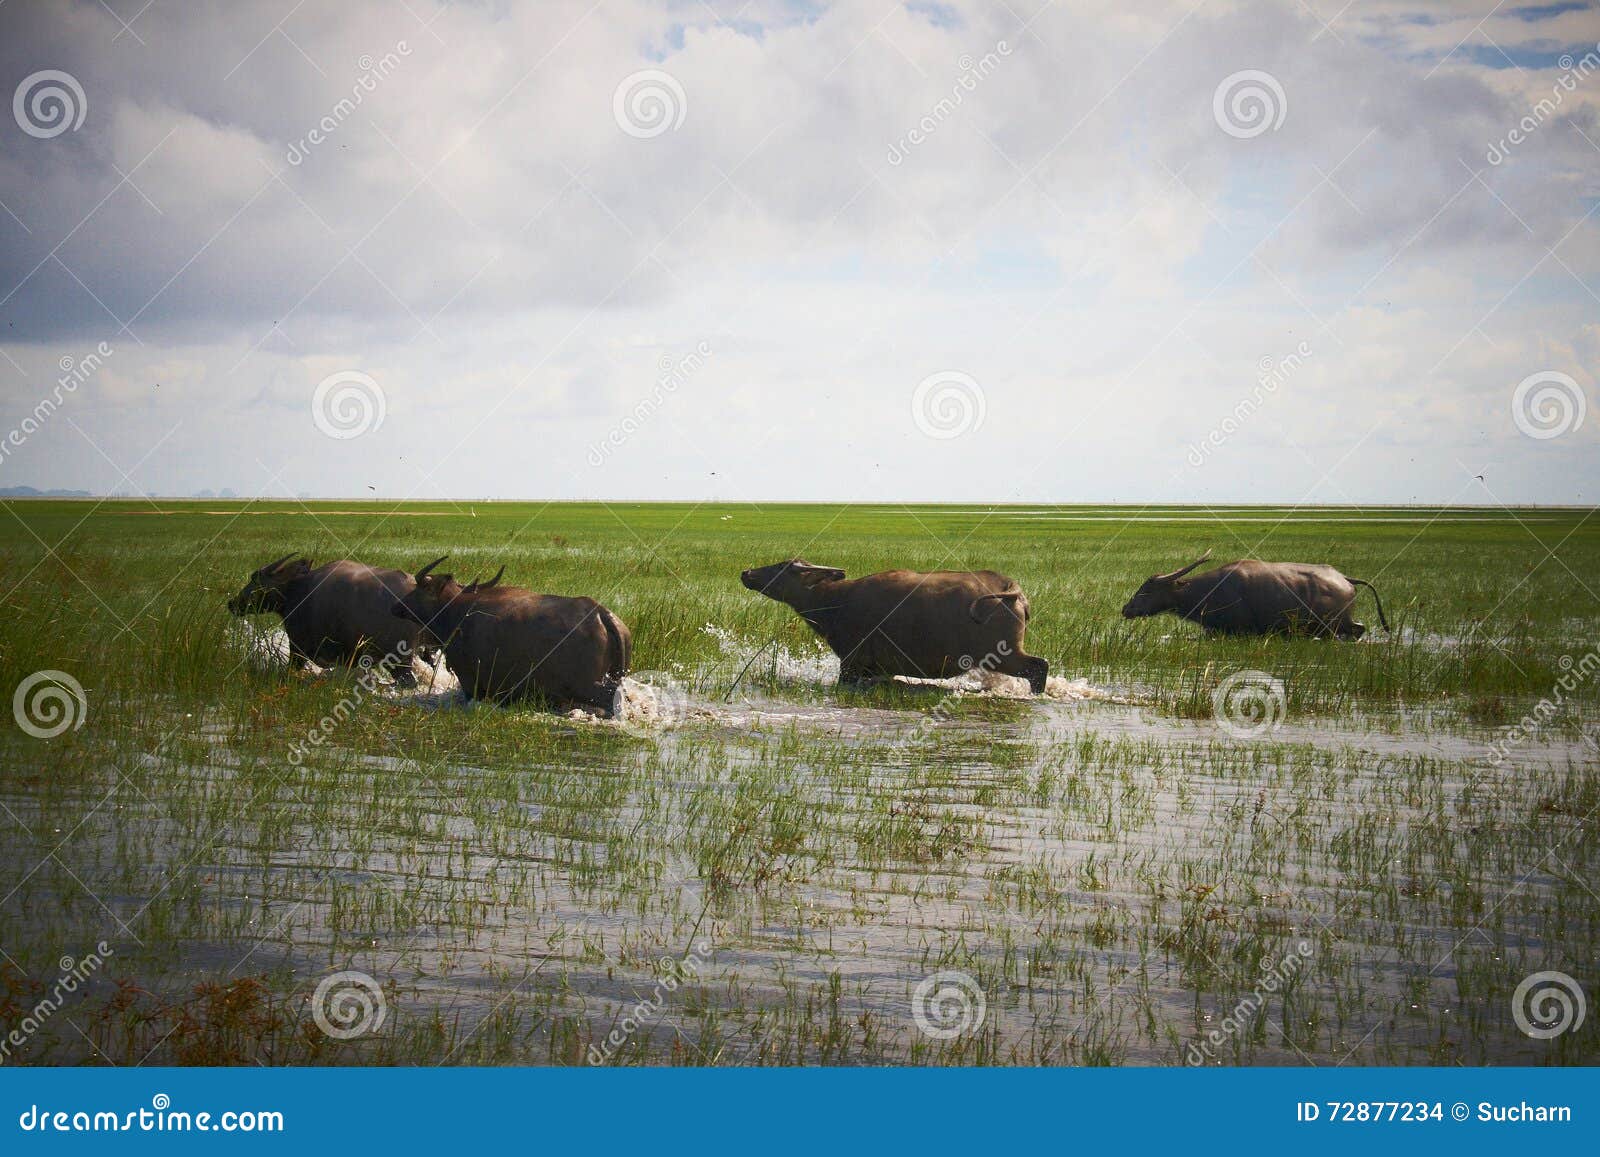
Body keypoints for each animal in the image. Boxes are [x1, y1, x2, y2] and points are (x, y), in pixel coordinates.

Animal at [391, 557, 631, 713]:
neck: (455, 612)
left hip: (587, 687)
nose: (397, 606)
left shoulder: (470, 682)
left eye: (420, 588)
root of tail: (601, 613)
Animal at [740, 559, 1050, 692]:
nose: (747, 572)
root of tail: (1013, 590)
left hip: (1006, 655)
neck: (835, 602)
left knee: (1039, 666)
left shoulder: (850, 664)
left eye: (783, 567)